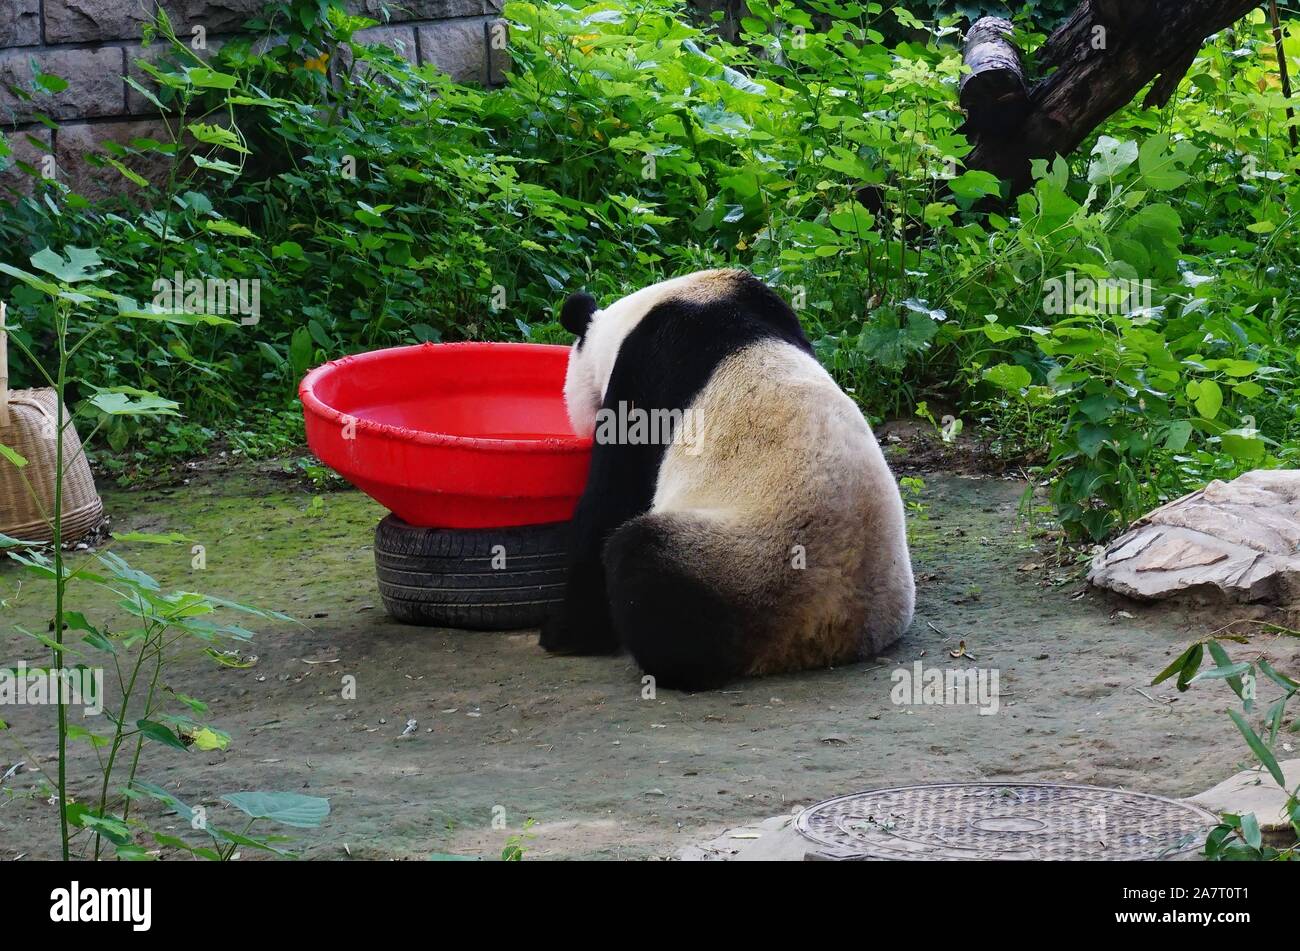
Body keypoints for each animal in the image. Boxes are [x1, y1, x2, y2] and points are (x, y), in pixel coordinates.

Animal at [539, 268, 914, 690]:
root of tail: (826, 633)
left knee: (639, 558)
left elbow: (611, 497)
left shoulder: (641, 376)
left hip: (743, 562)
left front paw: (563, 632)